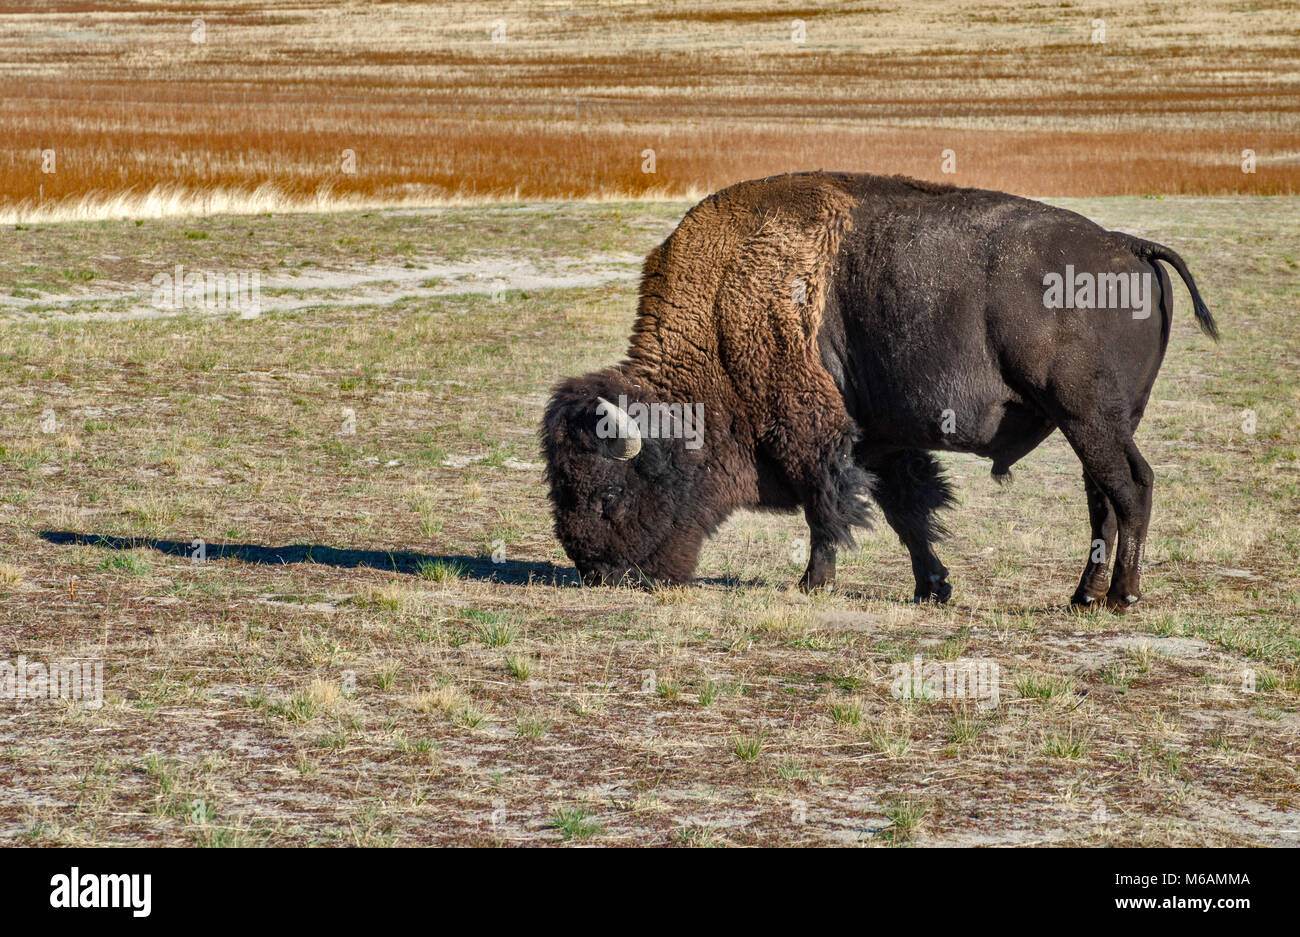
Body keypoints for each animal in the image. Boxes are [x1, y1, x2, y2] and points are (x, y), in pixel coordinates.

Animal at [542, 172, 1217, 609]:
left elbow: (828, 505)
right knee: (1103, 497)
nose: (598, 572)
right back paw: (1084, 596)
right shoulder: (880, 440)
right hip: (1102, 423)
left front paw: (813, 584)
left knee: (1130, 488)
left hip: (1089, 417)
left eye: (608, 494)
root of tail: (1129, 246)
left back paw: (1122, 596)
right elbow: (906, 510)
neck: (723, 316)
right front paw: (932, 588)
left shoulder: (812, 431)